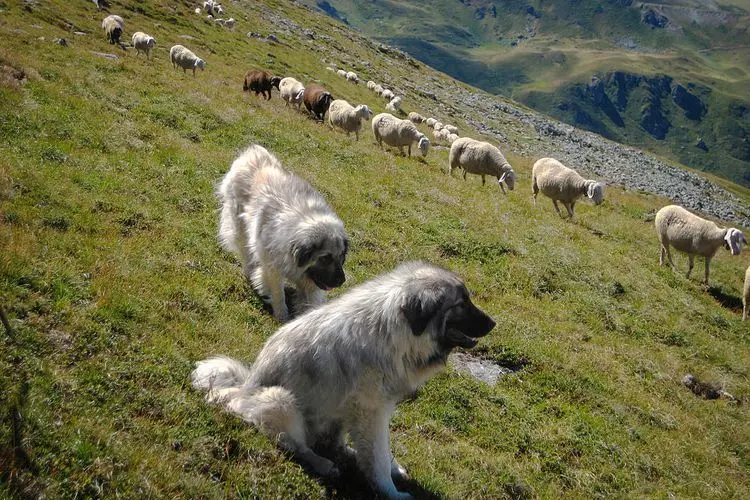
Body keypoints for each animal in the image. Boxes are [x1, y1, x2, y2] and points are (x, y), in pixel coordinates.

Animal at [192, 262, 500, 500]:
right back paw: (323, 463)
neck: (391, 331)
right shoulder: (372, 412)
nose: (494, 323)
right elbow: (378, 457)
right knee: (295, 444)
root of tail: (240, 390)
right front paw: (391, 491)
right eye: (461, 304)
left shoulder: (371, 413)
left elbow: (379, 451)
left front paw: (391, 469)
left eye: (468, 299)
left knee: (335, 442)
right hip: (281, 400)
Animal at [216, 144, 348, 320]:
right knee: (246, 252)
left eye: (341, 257)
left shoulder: (310, 283)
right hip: (240, 227)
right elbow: (278, 294)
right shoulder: (273, 268)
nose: (342, 281)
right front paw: (282, 315)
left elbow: (310, 303)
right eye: (325, 258)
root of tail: (253, 152)